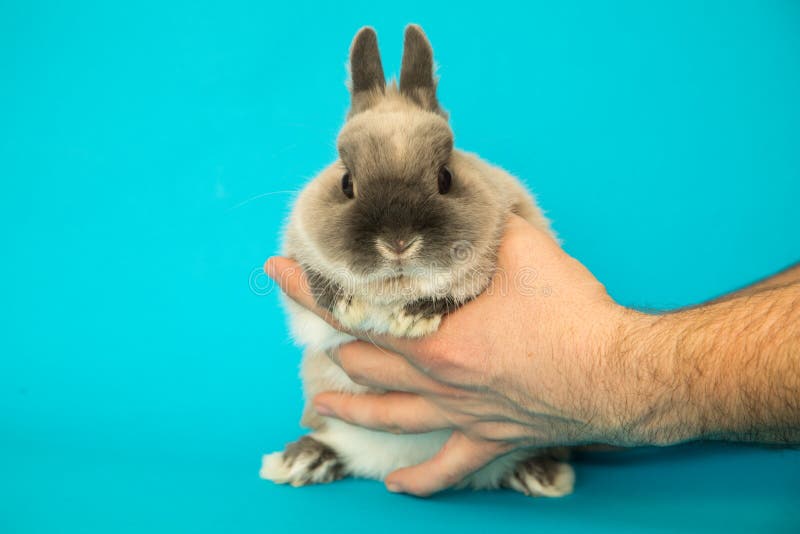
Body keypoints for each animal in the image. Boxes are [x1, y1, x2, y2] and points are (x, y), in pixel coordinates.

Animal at [260, 25, 575, 498]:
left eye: (445, 178)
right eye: (346, 182)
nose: (397, 243)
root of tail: (385, 466)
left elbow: (465, 288)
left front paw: (413, 317)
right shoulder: (299, 256)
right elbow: (316, 281)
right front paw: (348, 305)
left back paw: (545, 475)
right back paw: (300, 460)